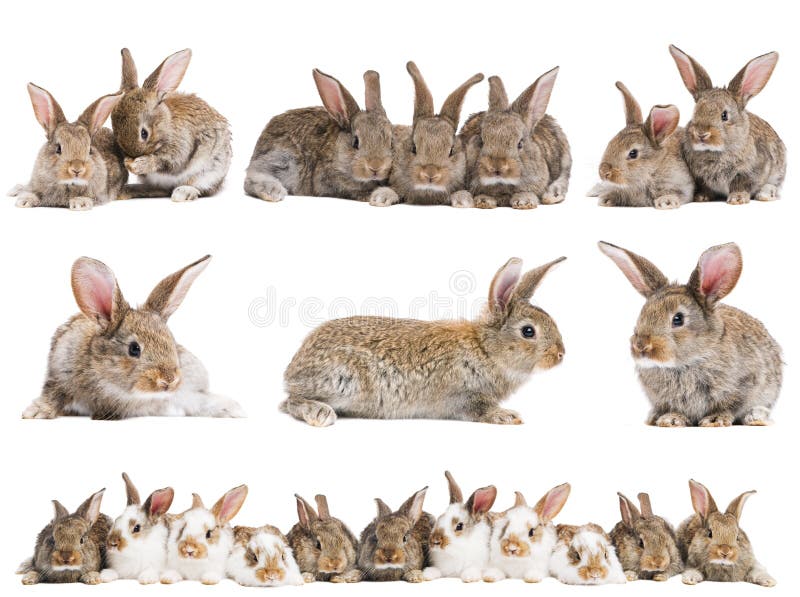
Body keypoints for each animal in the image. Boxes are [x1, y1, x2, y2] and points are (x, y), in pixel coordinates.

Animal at [21, 254, 245, 420]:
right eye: (134, 349)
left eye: (172, 343)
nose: (169, 381)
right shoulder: (60, 373)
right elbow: (53, 395)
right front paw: (35, 412)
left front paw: (233, 409)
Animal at [111, 48, 232, 202]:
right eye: (116, 133)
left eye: (144, 133)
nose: (132, 155)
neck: (166, 123)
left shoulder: (181, 147)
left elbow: (167, 162)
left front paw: (139, 164)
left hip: (210, 173)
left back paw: (183, 193)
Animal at [281, 256, 565, 427]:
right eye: (528, 332)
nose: (561, 354)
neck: (485, 349)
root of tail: (292, 371)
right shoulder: (464, 395)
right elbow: (479, 409)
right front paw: (507, 416)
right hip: (344, 381)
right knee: (289, 402)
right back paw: (320, 414)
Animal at [598, 241, 782, 427]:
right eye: (642, 314)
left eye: (678, 319)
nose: (641, 345)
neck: (688, 362)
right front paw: (671, 419)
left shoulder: (745, 384)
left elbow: (729, 406)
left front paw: (714, 419)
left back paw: (756, 418)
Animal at [668, 46, 785, 205]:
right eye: (695, 112)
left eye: (724, 115)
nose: (701, 134)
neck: (715, 152)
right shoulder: (701, 178)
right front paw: (702, 198)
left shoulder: (749, 172)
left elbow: (741, 185)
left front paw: (737, 198)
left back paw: (765, 195)